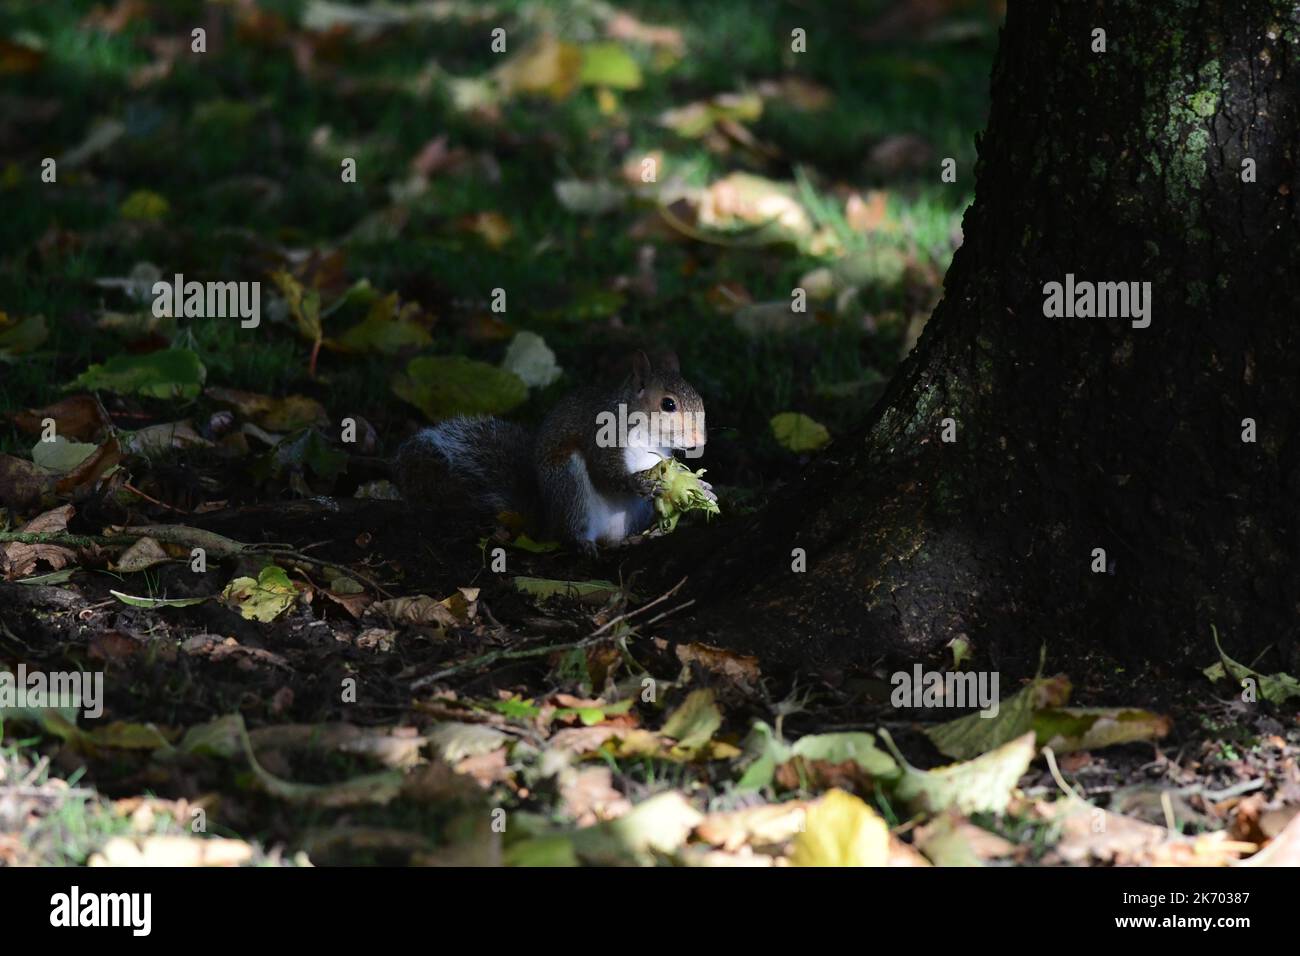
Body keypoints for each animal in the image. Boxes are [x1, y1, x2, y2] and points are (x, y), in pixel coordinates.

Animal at [395, 351, 709, 554]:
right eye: (668, 405)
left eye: (699, 397)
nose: (699, 440)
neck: (649, 436)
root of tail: (546, 521)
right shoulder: (602, 437)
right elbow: (606, 474)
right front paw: (638, 481)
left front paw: (702, 487)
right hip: (569, 483)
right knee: (569, 533)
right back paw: (583, 543)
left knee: (612, 541)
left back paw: (631, 541)